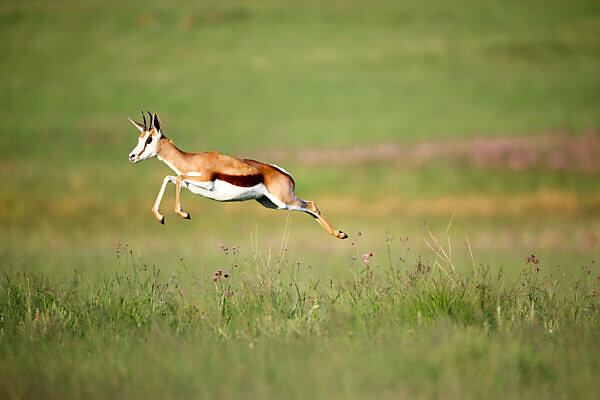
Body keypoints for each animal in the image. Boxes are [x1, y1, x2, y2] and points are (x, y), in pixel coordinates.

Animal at [128, 111, 348, 239]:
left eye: (149, 139)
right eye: (140, 138)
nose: (132, 156)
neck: (191, 159)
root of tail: (284, 174)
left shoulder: (205, 182)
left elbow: (178, 178)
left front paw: (183, 214)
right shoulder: (191, 184)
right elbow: (170, 178)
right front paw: (160, 217)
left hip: (284, 201)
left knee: (312, 205)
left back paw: (340, 234)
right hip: (271, 204)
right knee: (309, 209)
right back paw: (339, 233)